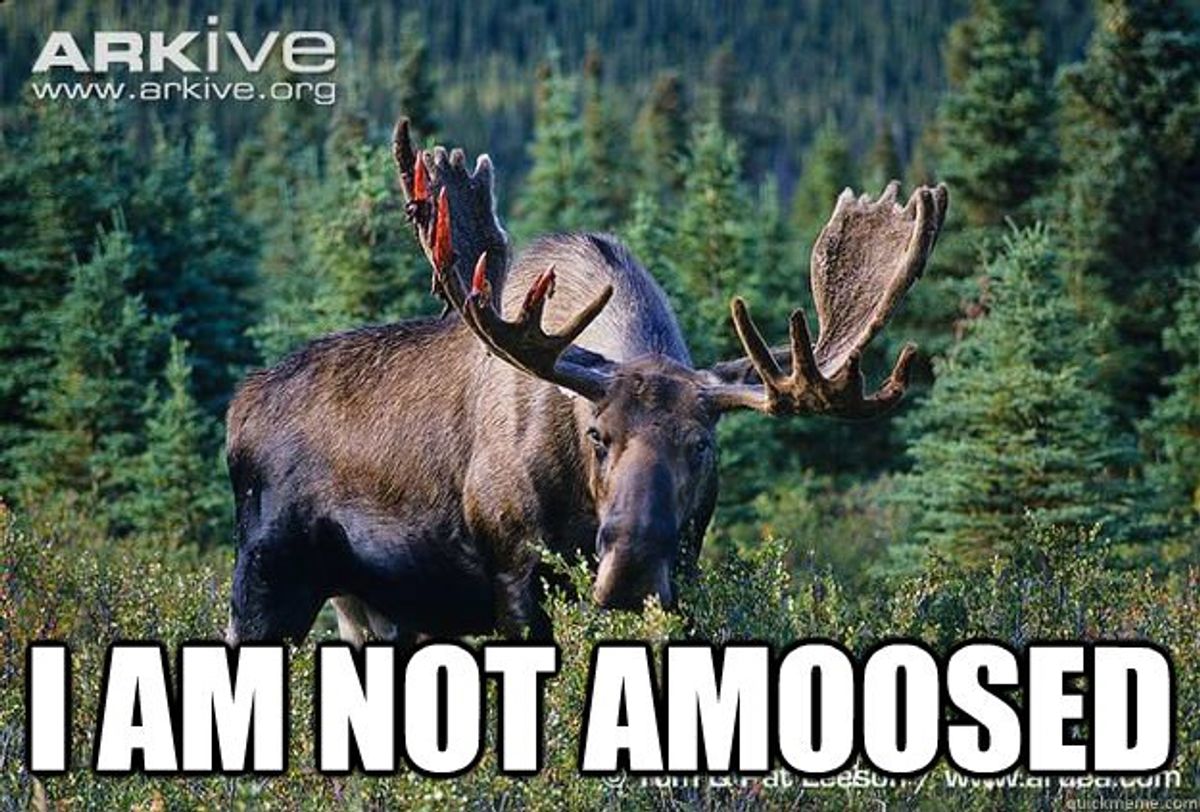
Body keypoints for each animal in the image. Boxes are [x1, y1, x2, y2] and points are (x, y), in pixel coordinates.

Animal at [224, 118, 948, 645]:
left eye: (701, 445)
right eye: (598, 435)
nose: (629, 569)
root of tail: (238, 407)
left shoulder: (686, 571)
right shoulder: (515, 573)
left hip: (368, 606)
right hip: (266, 580)